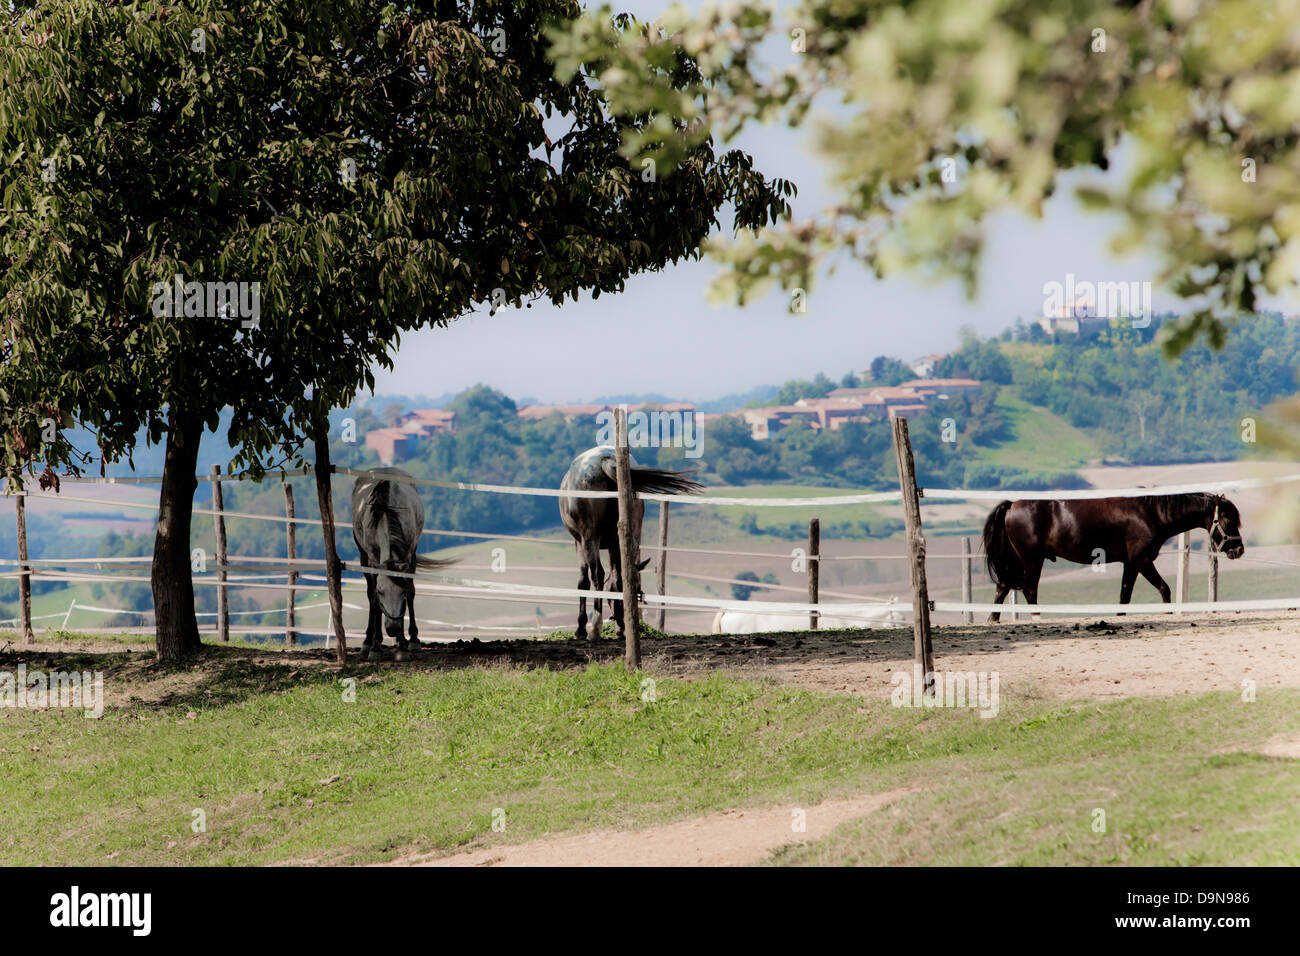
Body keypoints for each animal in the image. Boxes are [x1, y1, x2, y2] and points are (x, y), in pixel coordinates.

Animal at [351, 467, 456, 662]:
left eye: (401, 593)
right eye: (381, 592)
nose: (392, 629)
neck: (385, 512)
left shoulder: (409, 555)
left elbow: (411, 592)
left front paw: (406, 644)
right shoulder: (372, 559)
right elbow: (373, 599)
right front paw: (375, 647)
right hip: (363, 557)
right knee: (368, 595)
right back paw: (367, 642)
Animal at [559, 445, 703, 639]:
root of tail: (606, 459)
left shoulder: (580, 542)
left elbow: (583, 581)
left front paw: (580, 628)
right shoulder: (613, 544)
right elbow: (616, 580)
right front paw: (620, 625)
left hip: (590, 537)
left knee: (597, 574)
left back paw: (595, 628)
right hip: (631, 533)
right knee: (622, 575)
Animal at [981, 492, 1244, 621]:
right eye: (1228, 519)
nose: (1239, 550)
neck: (1149, 513)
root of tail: (1012, 504)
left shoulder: (1130, 564)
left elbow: (1124, 596)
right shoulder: (1141, 561)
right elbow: (1165, 588)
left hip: (1018, 561)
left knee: (1002, 587)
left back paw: (994, 619)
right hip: (1032, 560)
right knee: (1029, 589)